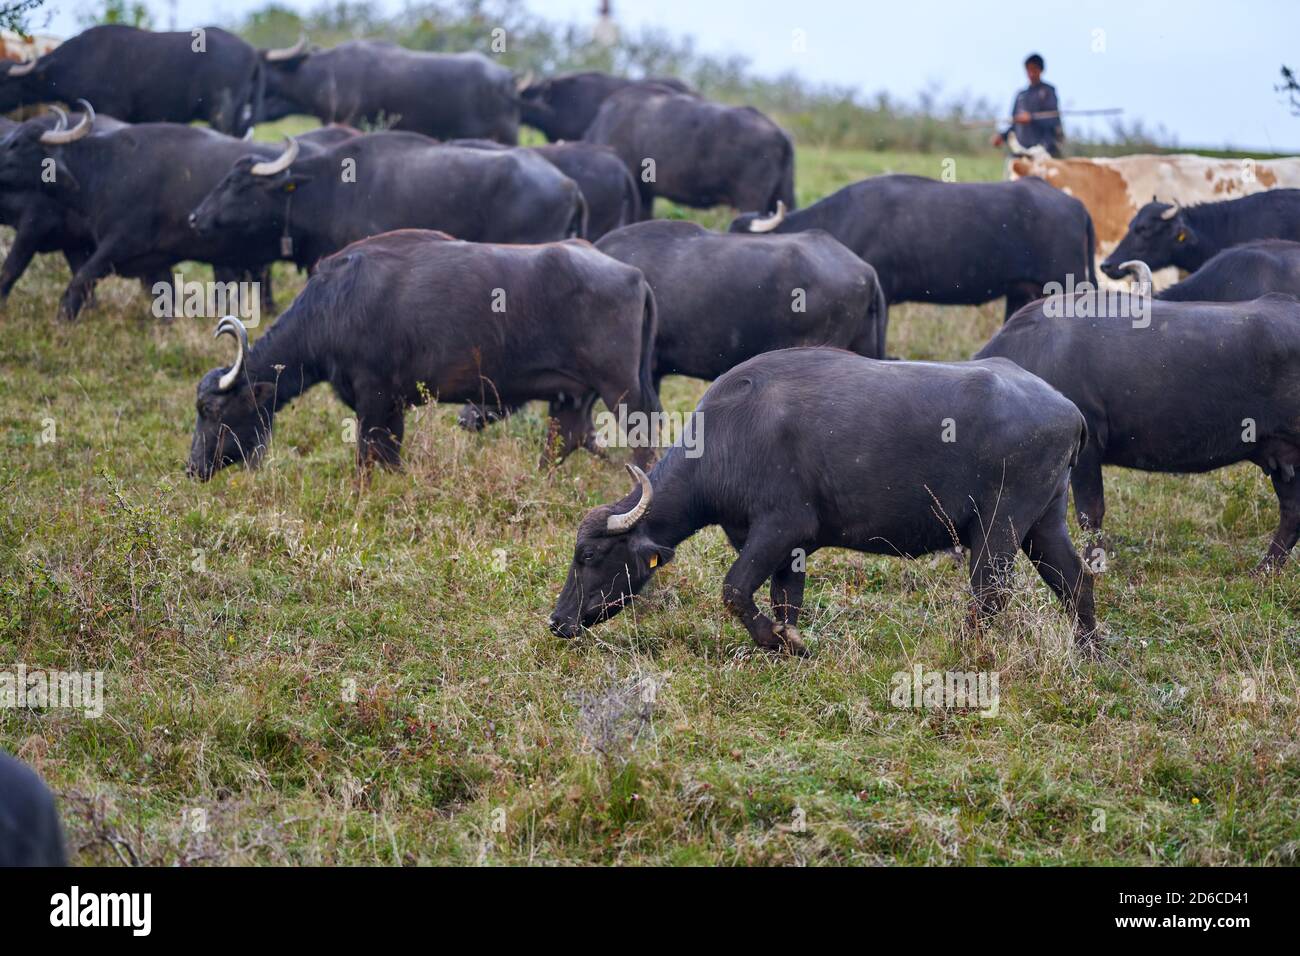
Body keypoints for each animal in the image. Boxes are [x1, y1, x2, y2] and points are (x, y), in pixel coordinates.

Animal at [187, 229, 660, 479]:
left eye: (212, 410)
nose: (193, 467)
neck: (335, 305)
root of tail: (634, 275)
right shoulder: (392, 406)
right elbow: (389, 456)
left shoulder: (373, 398)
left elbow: (366, 457)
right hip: (571, 398)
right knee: (567, 440)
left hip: (622, 390)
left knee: (642, 439)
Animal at [548, 348, 1098, 655]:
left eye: (590, 555)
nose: (558, 622)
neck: (731, 435)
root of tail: (1069, 409)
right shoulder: (787, 550)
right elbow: (783, 600)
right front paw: (785, 643)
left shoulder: (781, 528)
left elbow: (733, 590)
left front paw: (779, 641)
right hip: (1044, 521)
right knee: (1075, 581)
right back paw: (1089, 653)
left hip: (999, 524)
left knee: (990, 592)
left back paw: (962, 652)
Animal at [976, 262, 1300, 572]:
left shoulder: (1088, 450)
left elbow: (1090, 513)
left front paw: (1095, 564)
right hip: (1282, 457)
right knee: (1292, 513)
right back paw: (1264, 570)